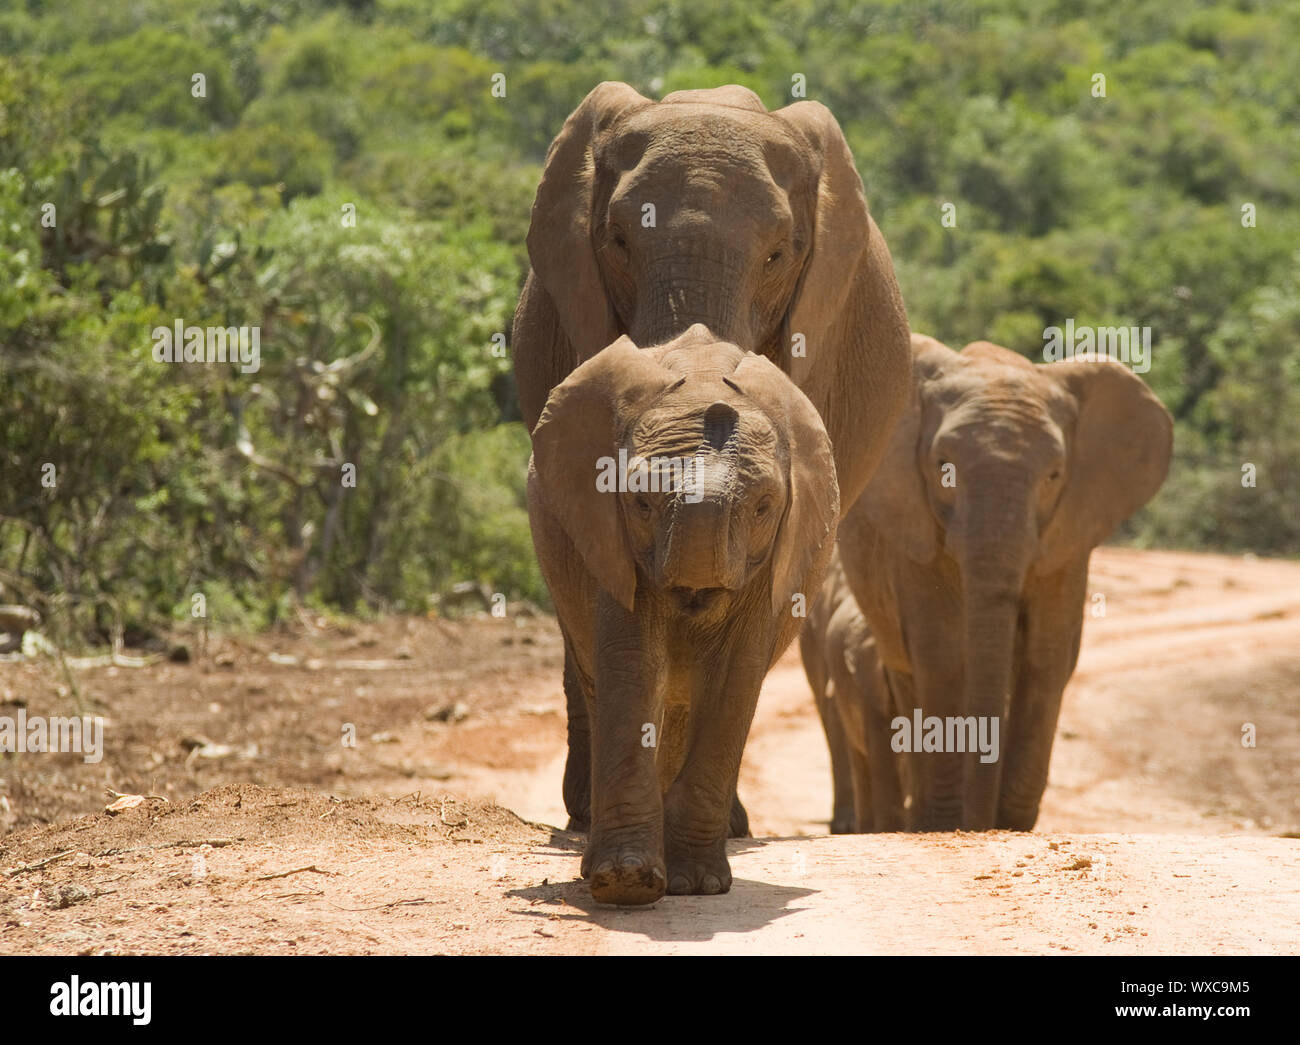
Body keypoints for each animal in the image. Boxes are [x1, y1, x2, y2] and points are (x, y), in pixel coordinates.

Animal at [527, 324, 839, 903]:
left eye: (763, 506)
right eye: (642, 503)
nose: (695, 592)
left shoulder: (773, 555)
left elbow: (734, 678)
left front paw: (696, 885)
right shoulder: (610, 535)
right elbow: (633, 664)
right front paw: (625, 882)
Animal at [825, 333, 1173, 832]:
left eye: (1053, 475)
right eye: (942, 465)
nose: (982, 825)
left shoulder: (1068, 533)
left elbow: (1045, 659)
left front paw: (1009, 824)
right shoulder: (912, 527)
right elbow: (943, 657)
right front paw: (946, 822)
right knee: (907, 672)